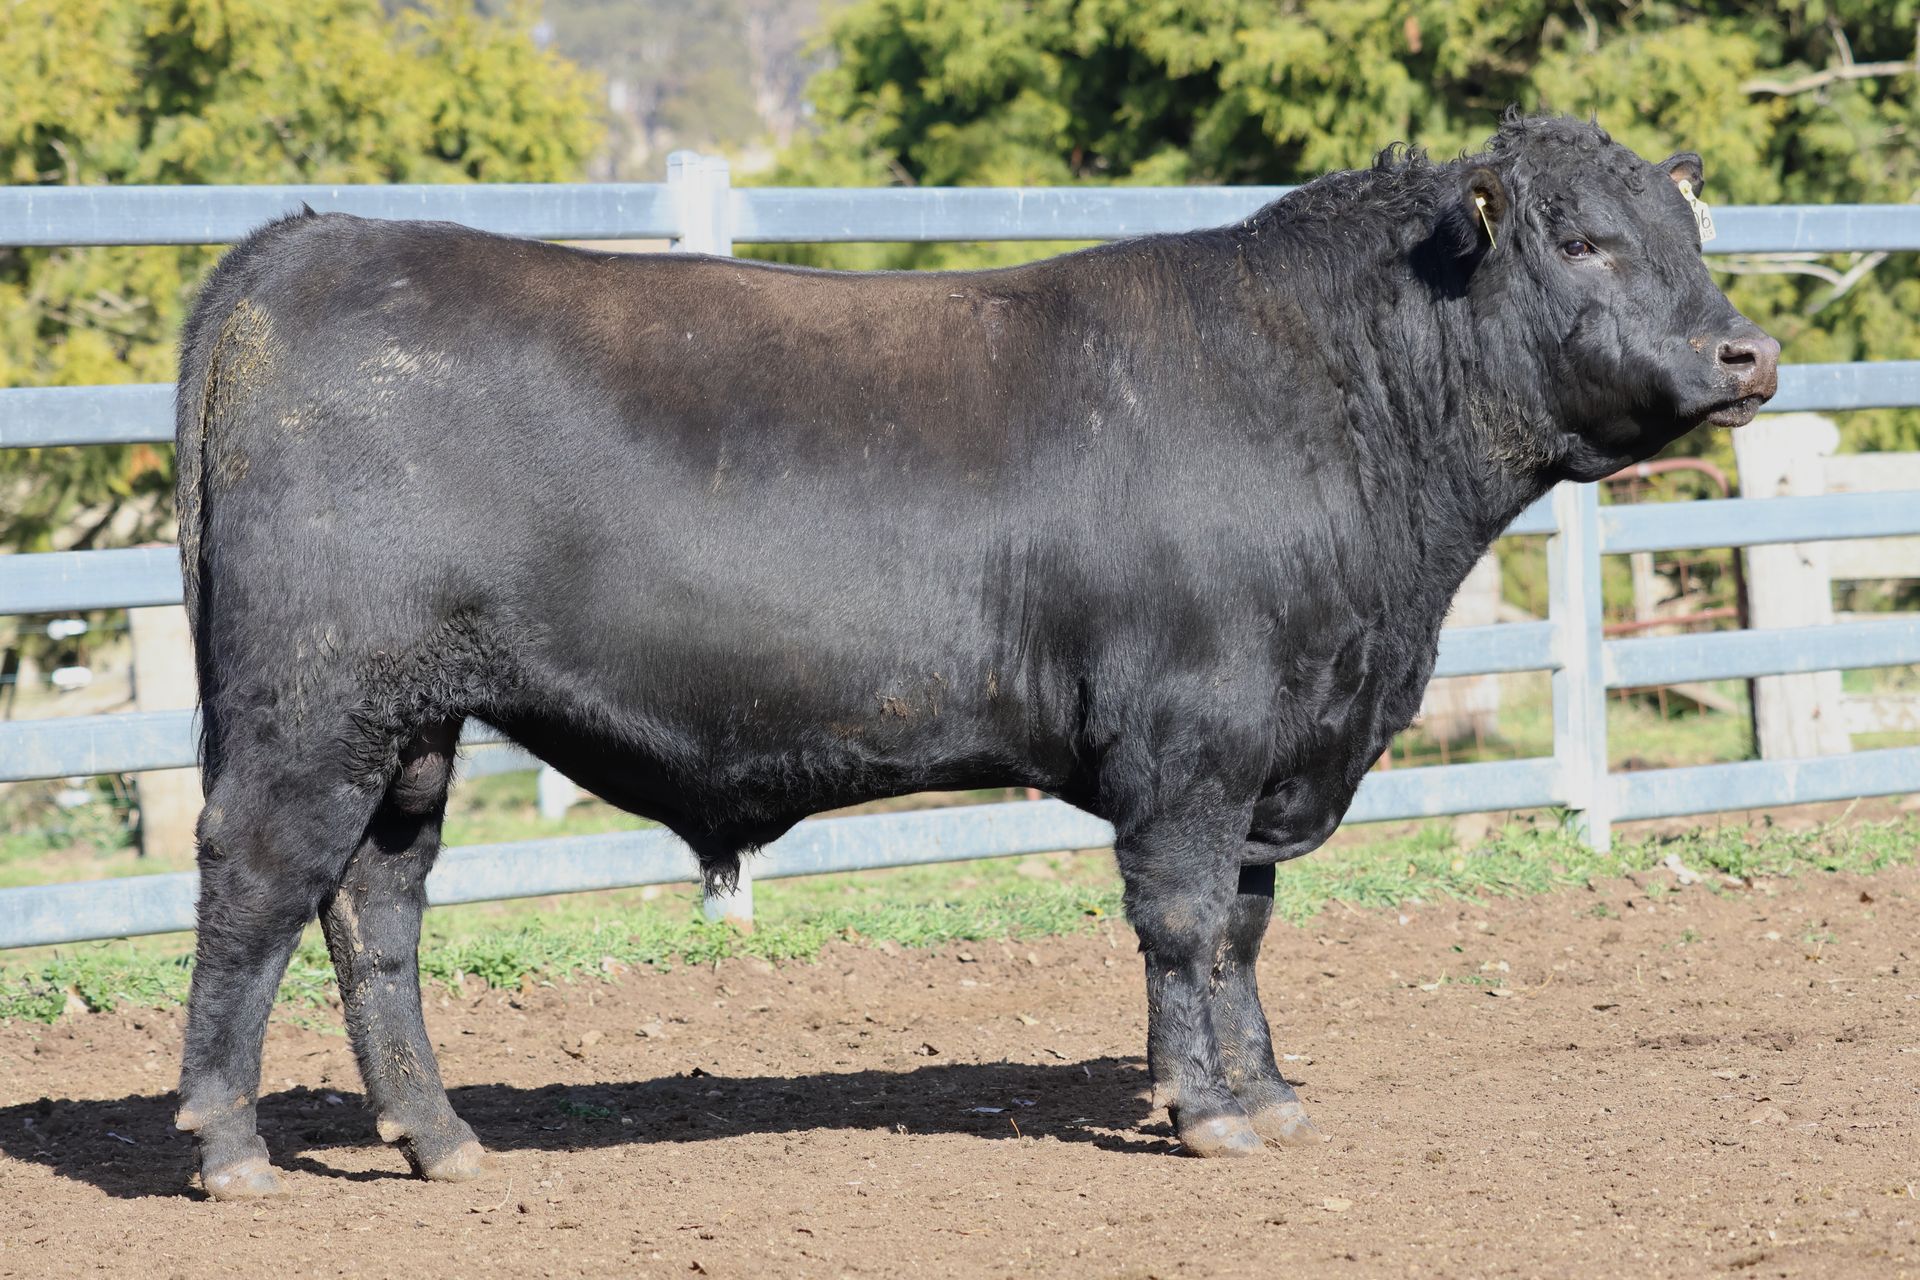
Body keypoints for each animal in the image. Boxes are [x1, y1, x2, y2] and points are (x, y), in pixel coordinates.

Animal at [169, 113, 1777, 1197]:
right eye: (1581, 239)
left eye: (1694, 239)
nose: (1746, 354)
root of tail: (315, 236)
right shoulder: (1193, 744)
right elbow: (1183, 922)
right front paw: (1207, 1112)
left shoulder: (1272, 753)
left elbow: (1246, 931)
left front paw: (1268, 1090)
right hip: (312, 709)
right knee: (255, 881)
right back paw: (228, 1143)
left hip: (413, 731)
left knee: (375, 910)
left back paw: (441, 1140)